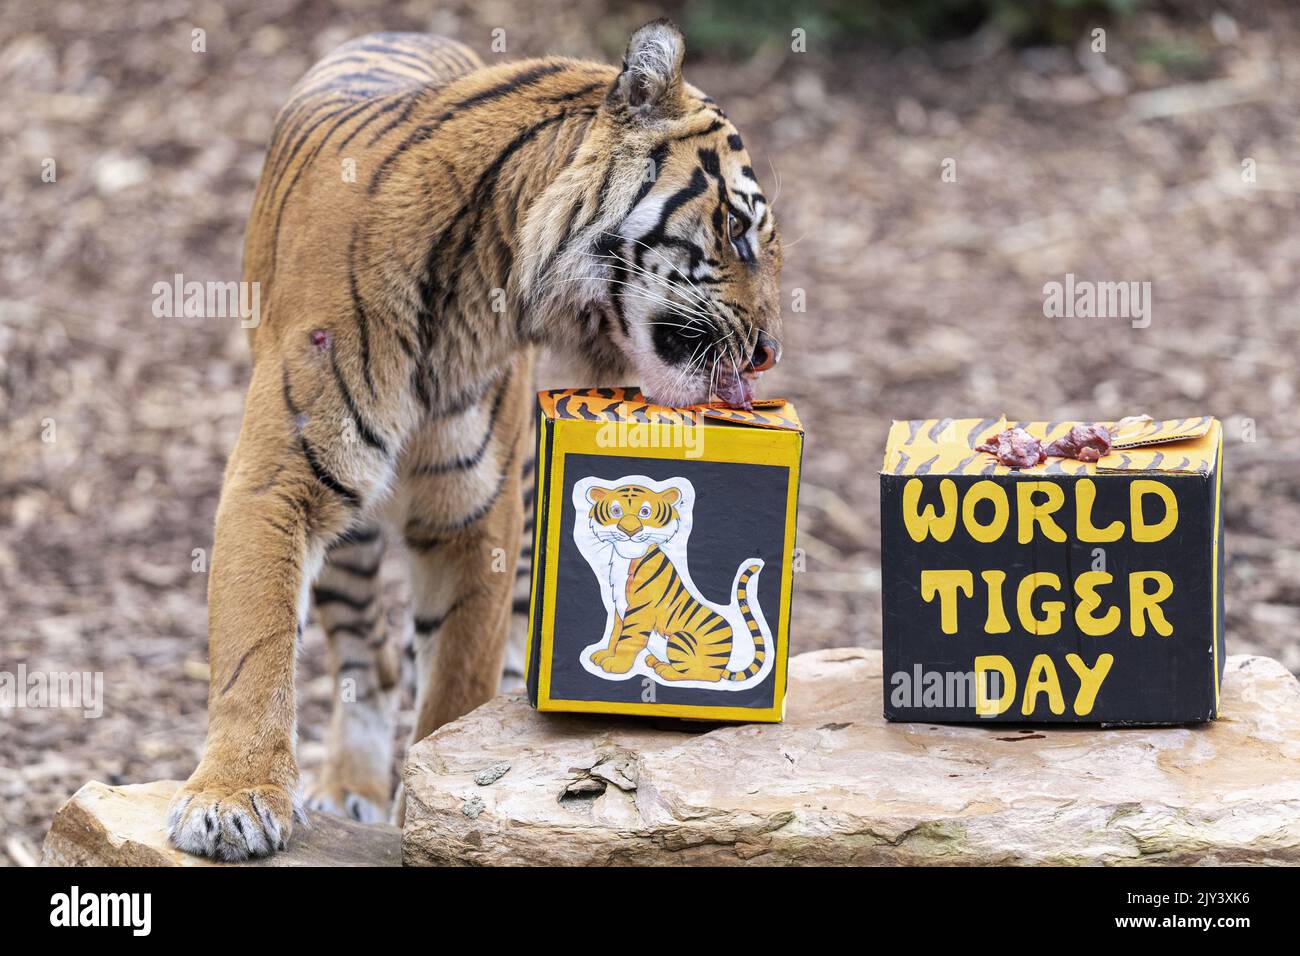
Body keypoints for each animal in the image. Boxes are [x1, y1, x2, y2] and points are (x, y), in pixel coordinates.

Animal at [583, 482, 769, 684]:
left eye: (645, 512)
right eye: (616, 511)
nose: (630, 530)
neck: (627, 556)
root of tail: (723, 667)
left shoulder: (640, 610)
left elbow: (628, 639)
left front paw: (616, 665)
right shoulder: (620, 608)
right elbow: (615, 634)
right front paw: (605, 654)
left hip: (680, 638)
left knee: (702, 675)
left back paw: (665, 670)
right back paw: (655, 661)